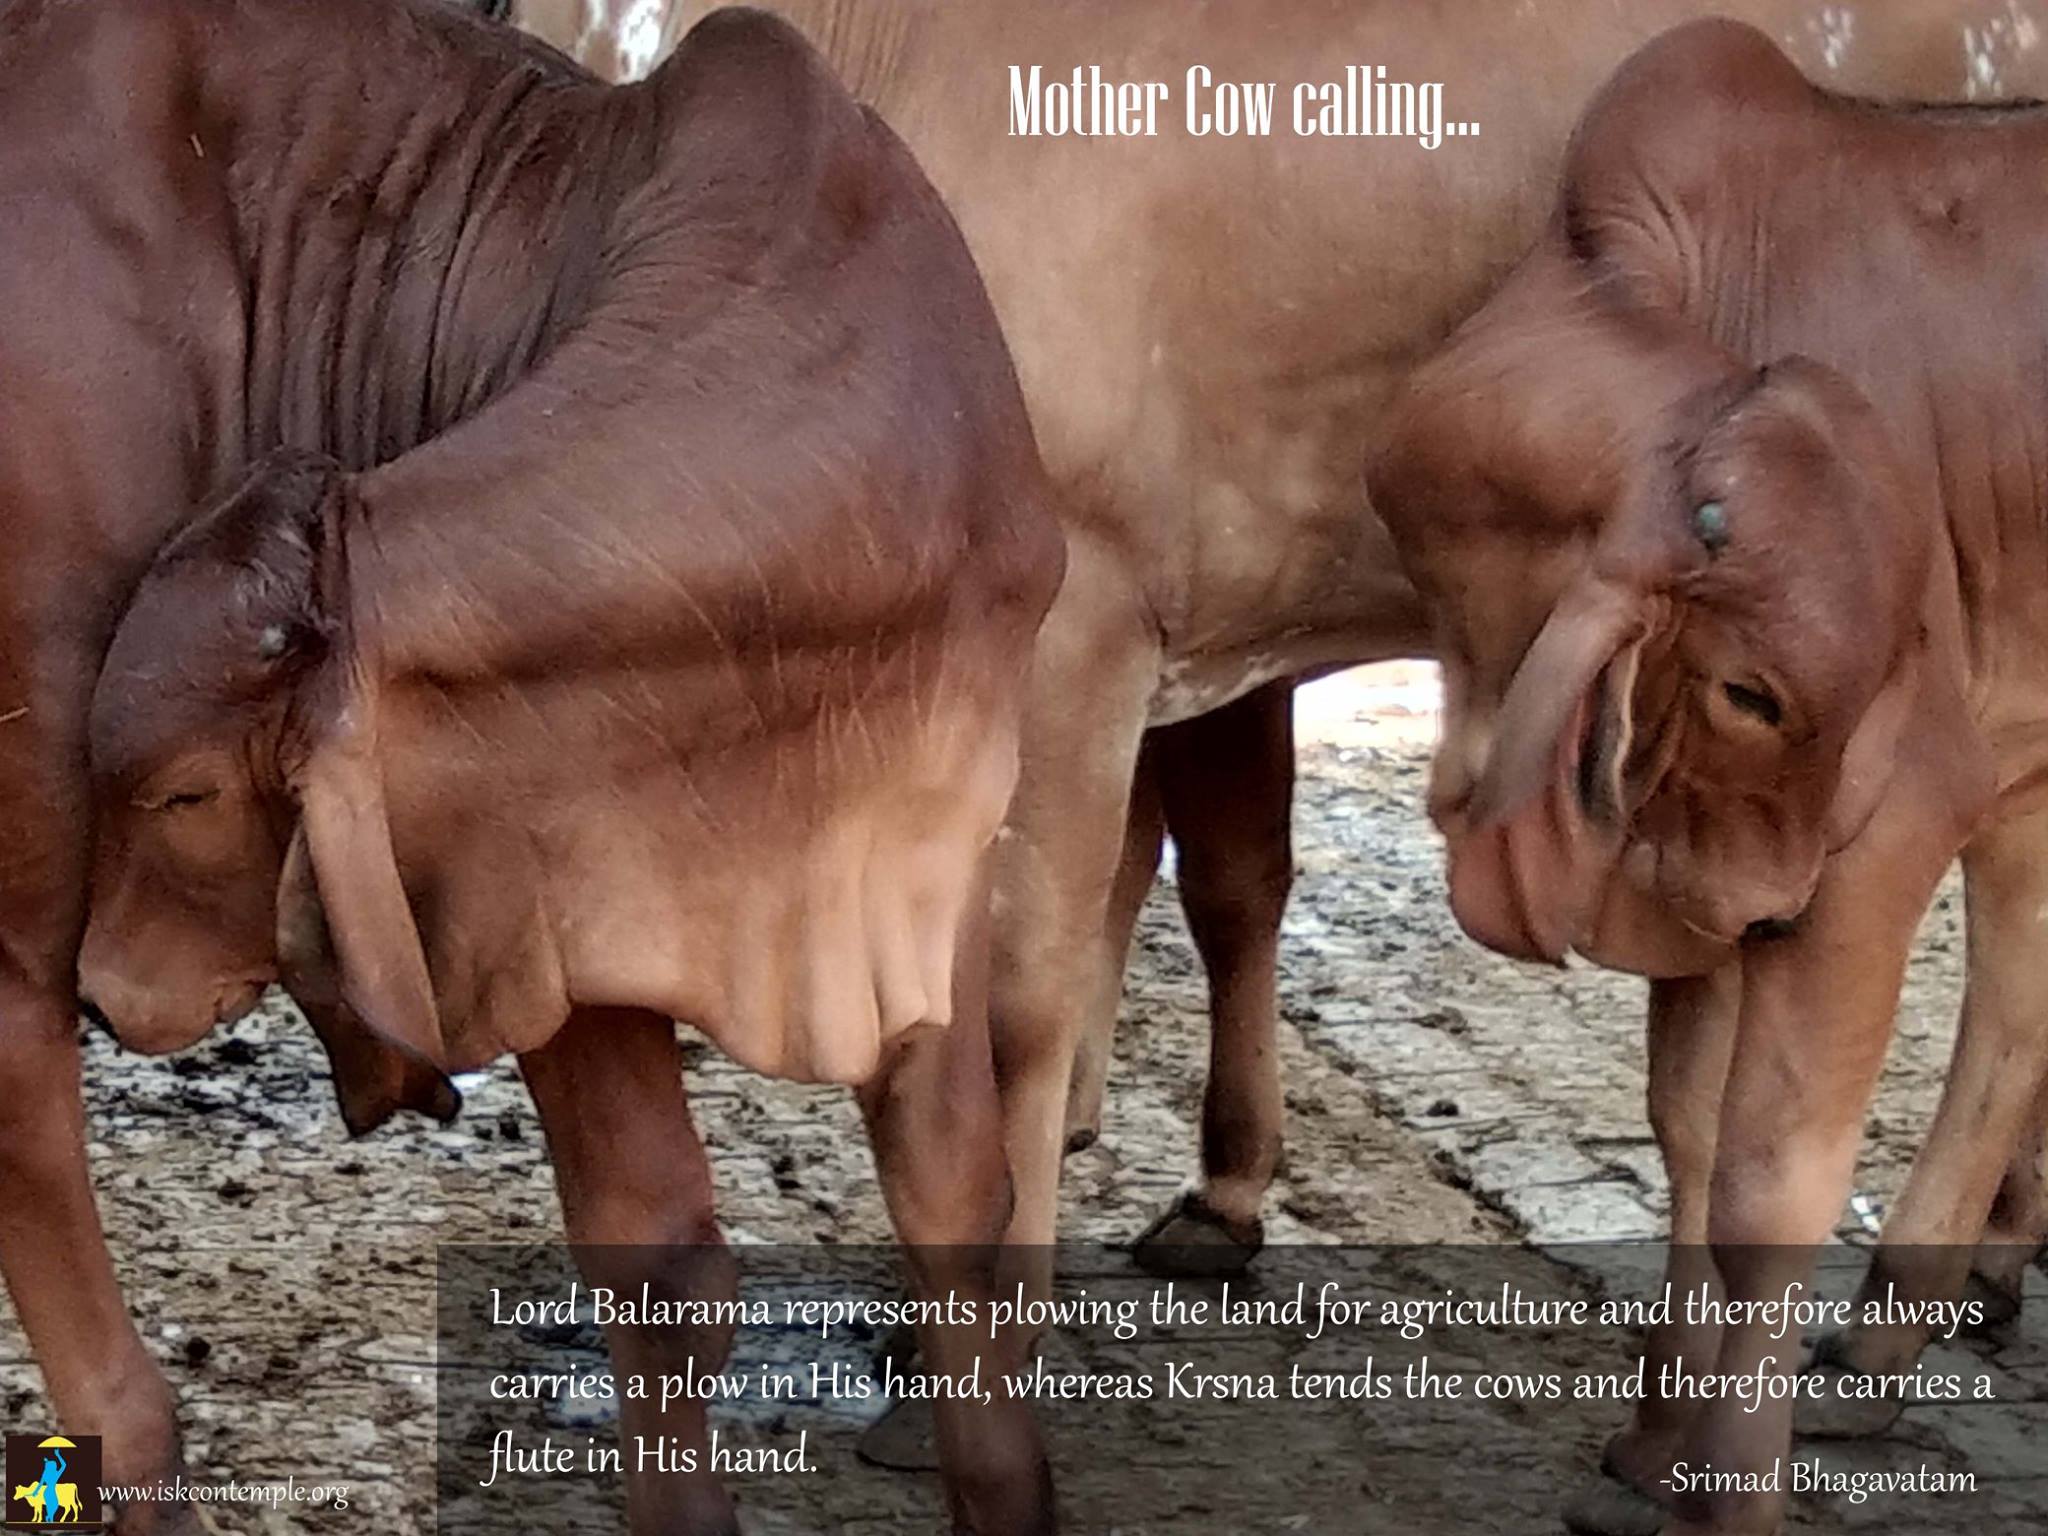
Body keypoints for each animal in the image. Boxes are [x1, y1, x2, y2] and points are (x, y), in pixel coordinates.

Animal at [1, 1, 1055, 1531]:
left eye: (187, 796)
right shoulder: (542, 903)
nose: (111, 987)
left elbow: (959, 1200)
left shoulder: (937, 856)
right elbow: (658, 1248)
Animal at [1368, 19, 2048, 1533]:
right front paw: (1656, 1435)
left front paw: (1732, 1483)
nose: (1774, 895)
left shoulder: (1884, 835)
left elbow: (1767, 1190)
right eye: (1747, 692)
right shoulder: (1692, 870)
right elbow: (1681, 1127)